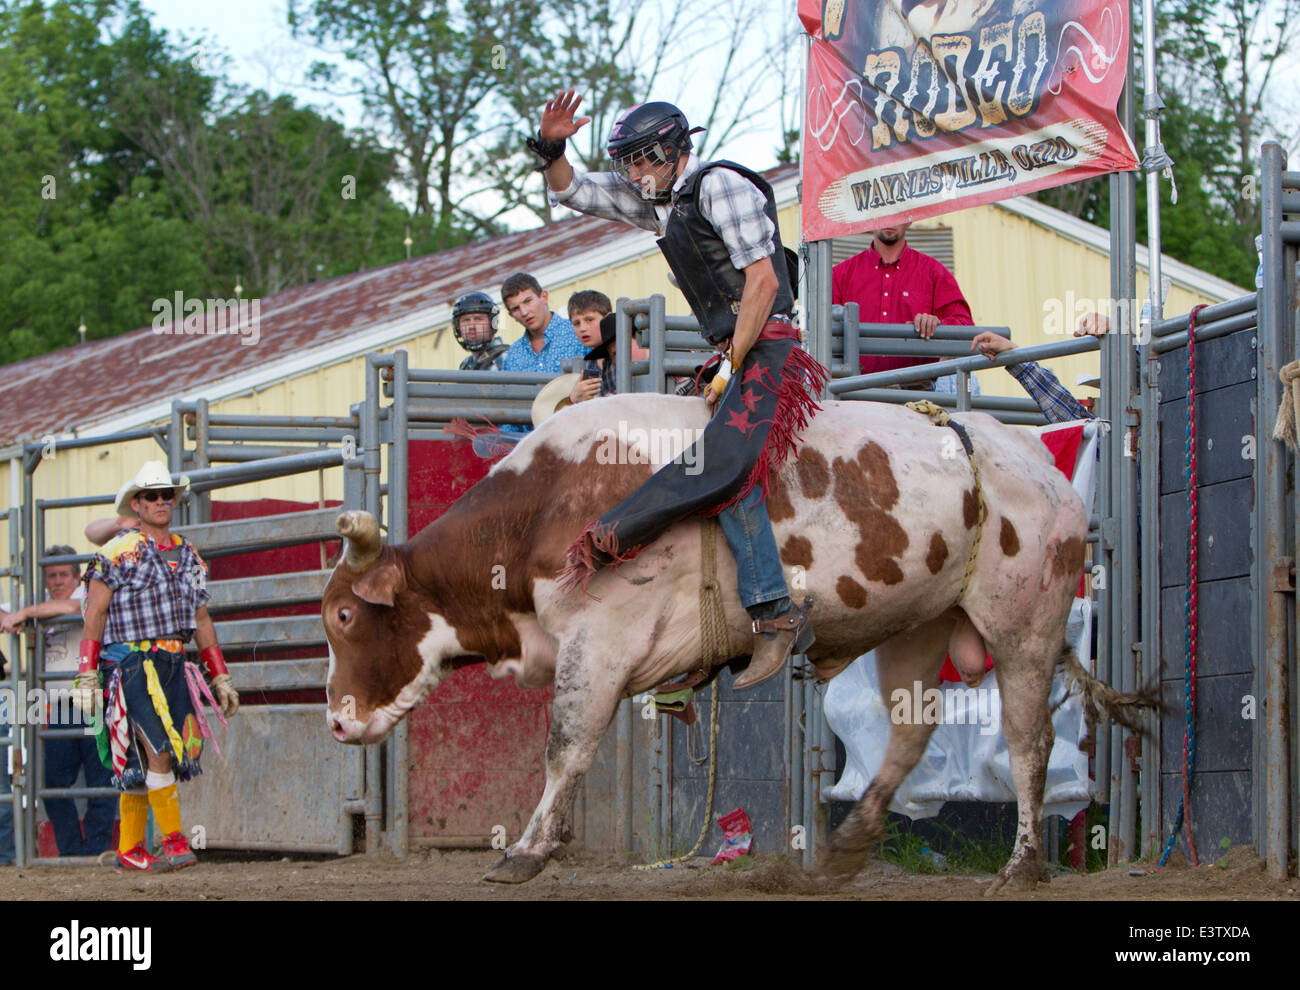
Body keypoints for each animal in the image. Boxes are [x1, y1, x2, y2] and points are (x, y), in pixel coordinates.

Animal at [322, 392, 1138, 891]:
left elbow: (566, 747)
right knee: (911, 730)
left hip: (1025, 624)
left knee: (1030, 741)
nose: (335, 720)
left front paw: (523, 853)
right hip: (917, 624)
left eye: (343, 618)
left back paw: (1023, 865)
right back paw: (847, 846)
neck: (552, 502)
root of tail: (1034, 462)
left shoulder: (601, 640)